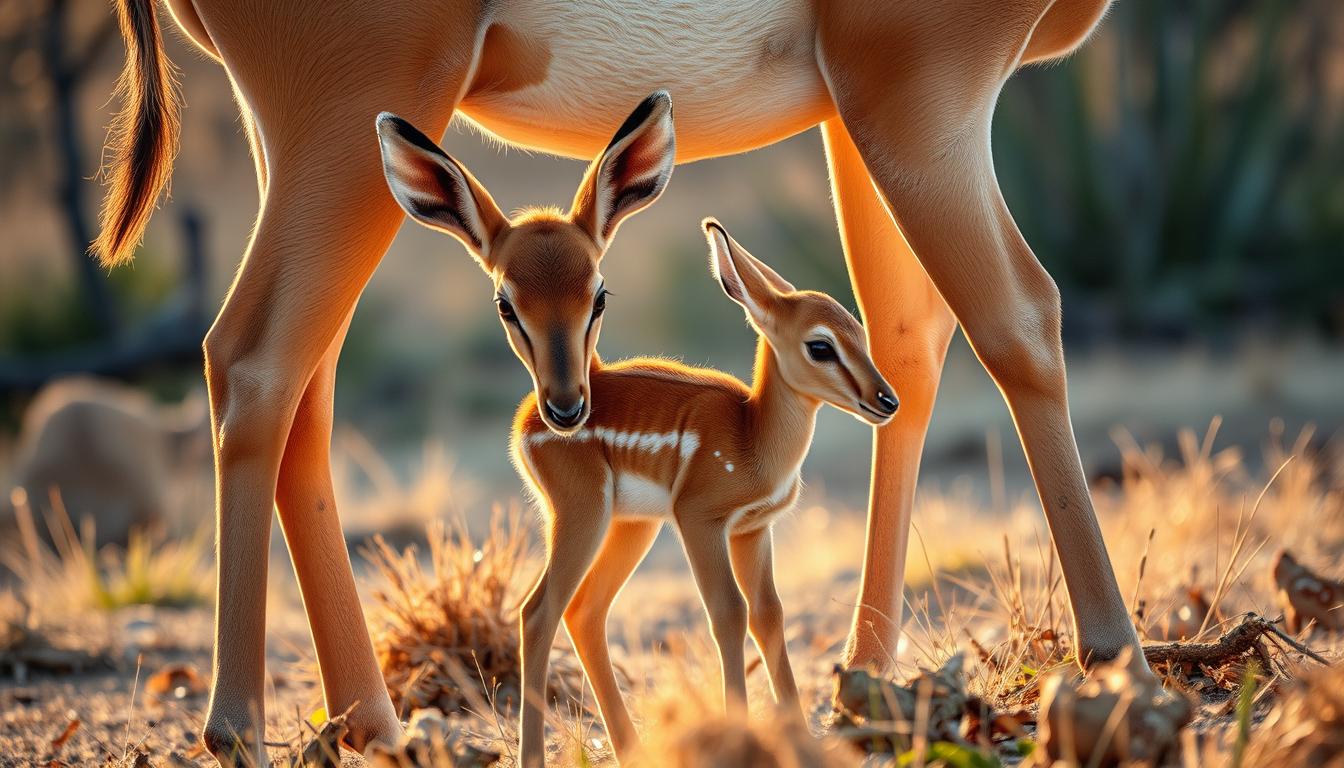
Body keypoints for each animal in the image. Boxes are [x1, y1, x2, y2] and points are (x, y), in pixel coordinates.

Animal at [512, 219, 898, 765]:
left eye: (860, 332)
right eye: (820, 345)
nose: (886, 400)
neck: (752, 433)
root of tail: (530, 415)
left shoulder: (753, 529)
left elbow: (769, 614)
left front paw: (799, 739)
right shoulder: (700, 521)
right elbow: (728, 612)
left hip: (632, 527)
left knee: (584, 611)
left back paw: (633, 748)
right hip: (581, 515)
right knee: (538, 611)